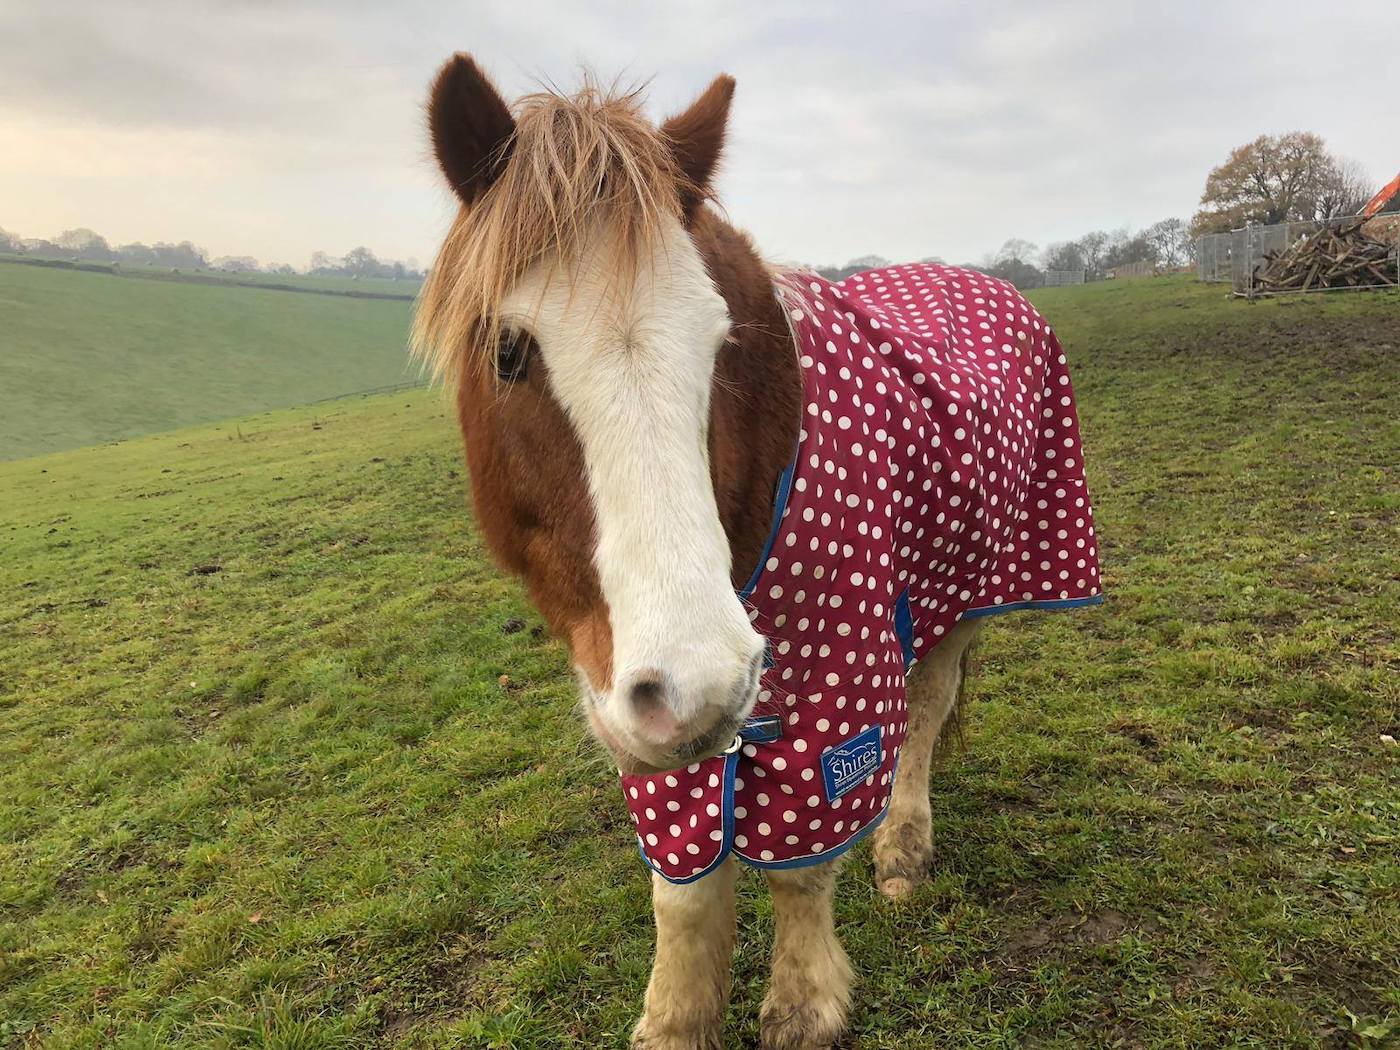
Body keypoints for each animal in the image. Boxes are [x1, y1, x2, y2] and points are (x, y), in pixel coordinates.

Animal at [413, 54, 1102, 1050]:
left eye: (720, 343)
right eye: (507, 351)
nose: (698, 681)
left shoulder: (835, 679)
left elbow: (805, 860)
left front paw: (805, 1004)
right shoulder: (635, 707)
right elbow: (684, 888)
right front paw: (676, 1019)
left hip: (969, 588)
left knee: (929, 708)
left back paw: (903, 846)